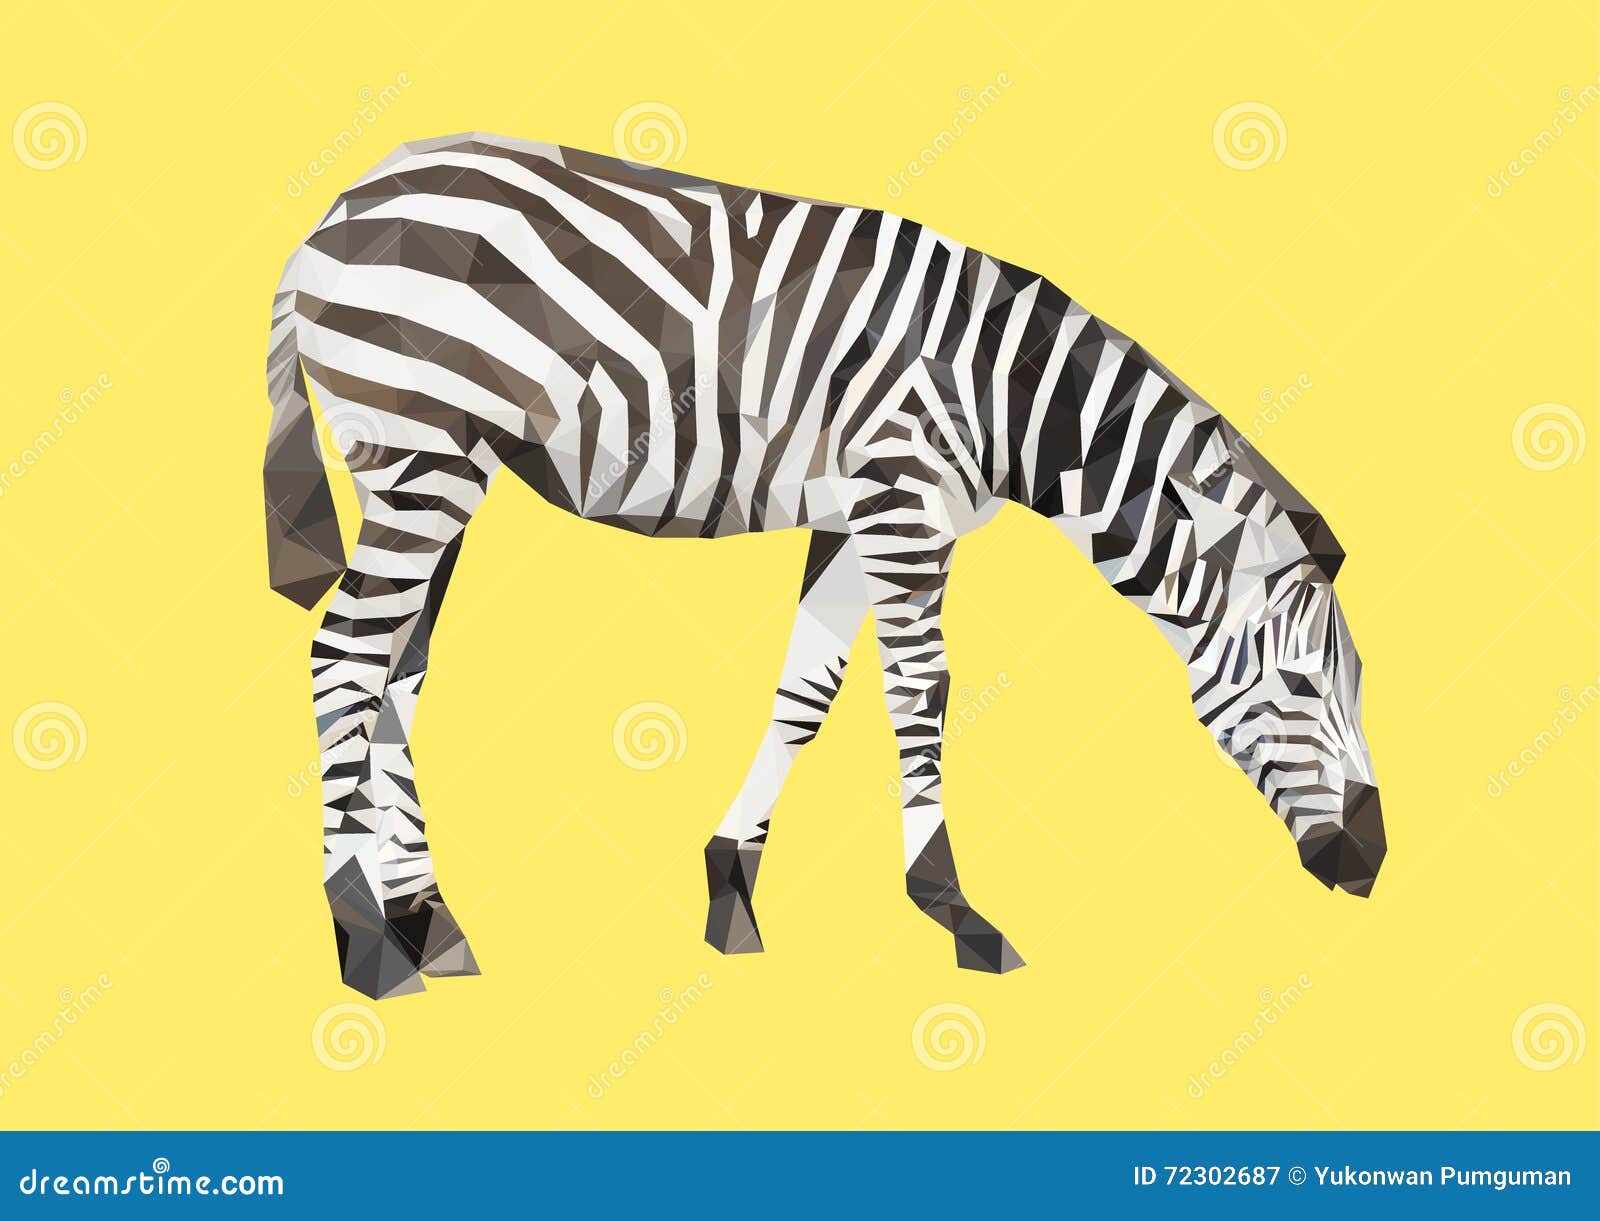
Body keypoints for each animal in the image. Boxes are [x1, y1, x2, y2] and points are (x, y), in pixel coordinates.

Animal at [265, 133, 1388, 1000]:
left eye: (1357, 685)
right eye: (1301, 685)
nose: (1371, 864)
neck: (1002, 391)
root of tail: (342, 201)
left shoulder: (852, 523)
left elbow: (803, 695)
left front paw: (731, 889)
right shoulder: (901, 507)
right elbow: (921, 696)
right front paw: (955, 911)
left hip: (438, 474)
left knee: (399, 671)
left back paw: (429, 923)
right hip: (422, 454)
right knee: (344, 661)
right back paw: (364, 945)